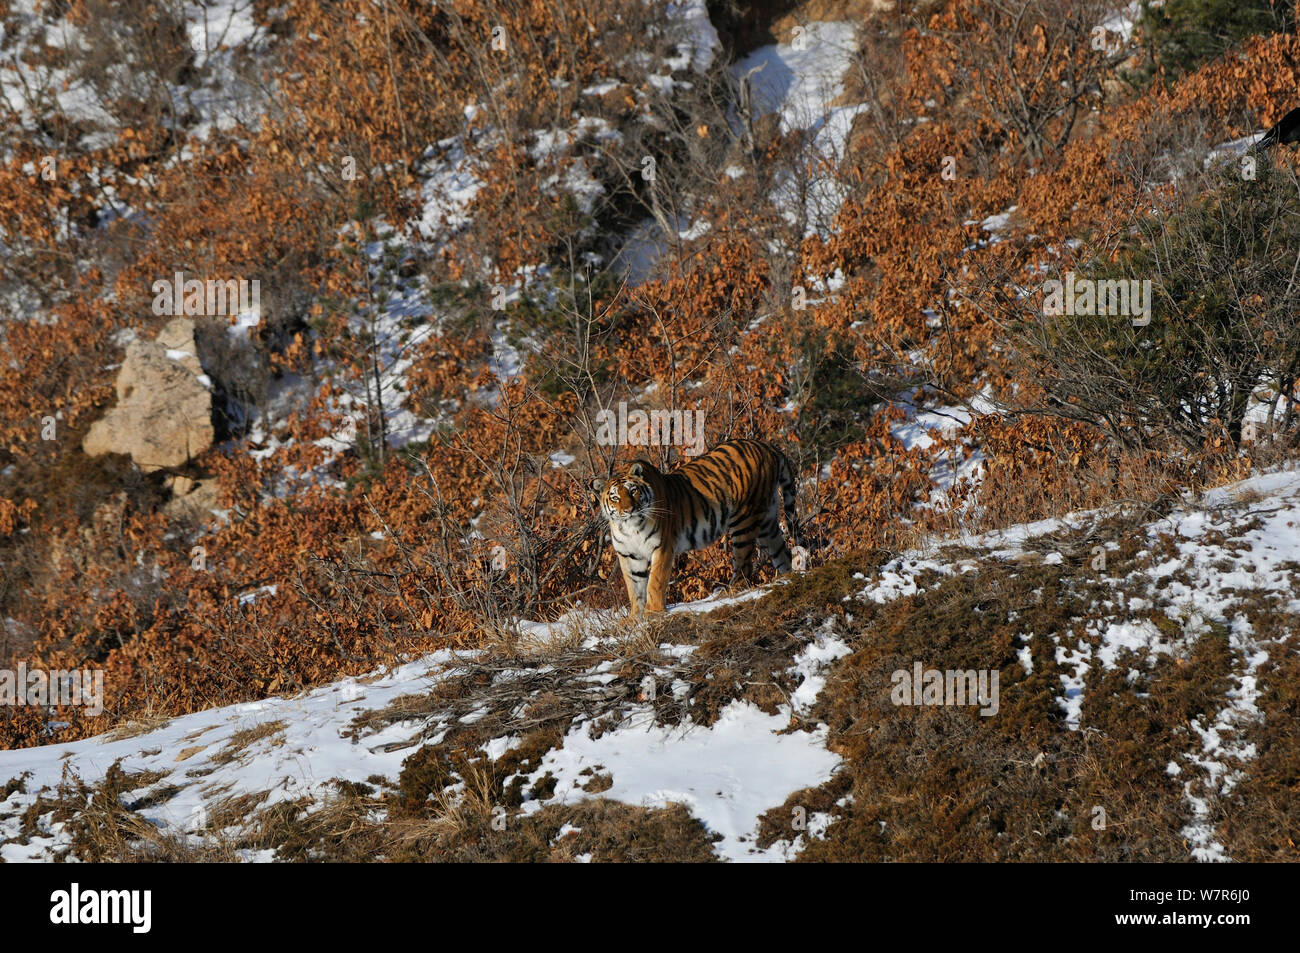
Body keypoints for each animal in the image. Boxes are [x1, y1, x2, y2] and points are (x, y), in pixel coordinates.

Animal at [590, 438, 799, 616]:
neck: (631, 527)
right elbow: (634, 588)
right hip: (766, 522)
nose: (629, 510)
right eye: (615, 497)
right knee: (782, 553)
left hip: (744, 520)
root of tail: (766, 447)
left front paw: (653, 612)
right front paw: (635, 617)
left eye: (633, 491)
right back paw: (788, 578)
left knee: (744, 565)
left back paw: (729, 592)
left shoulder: (662, 546)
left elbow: (655, 581)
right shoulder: (629, 554)